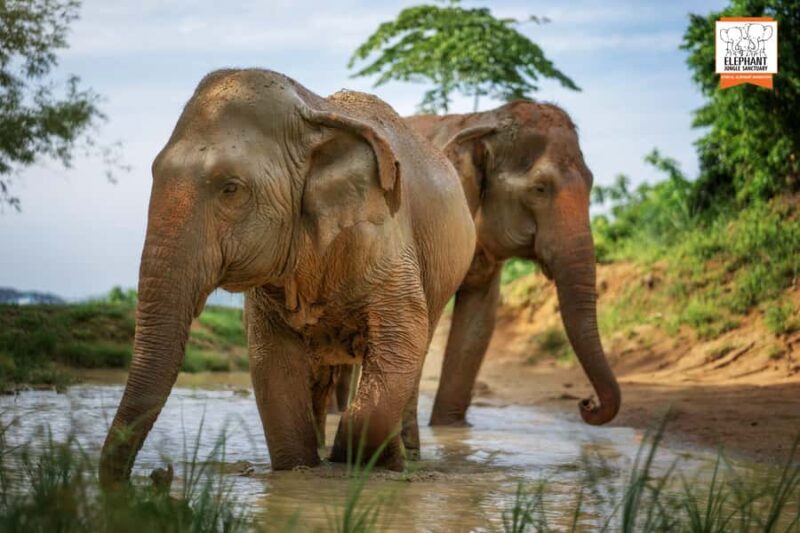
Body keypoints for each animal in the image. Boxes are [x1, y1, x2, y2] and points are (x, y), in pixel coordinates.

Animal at [98, 68, 476, 486]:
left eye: (231, 188)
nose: (159, 474)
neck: (312, 113)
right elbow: (271, 361)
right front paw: (301, 470)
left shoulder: (385, 233)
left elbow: (401, 339)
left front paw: (350, 464)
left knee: (414, 352)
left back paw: (400, 460)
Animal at [402, 101, 621, 430]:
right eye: (539, 189)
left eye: (592, 182)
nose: (587, 403)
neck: (483, 121)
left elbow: (480, 322)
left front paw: (451, 431)